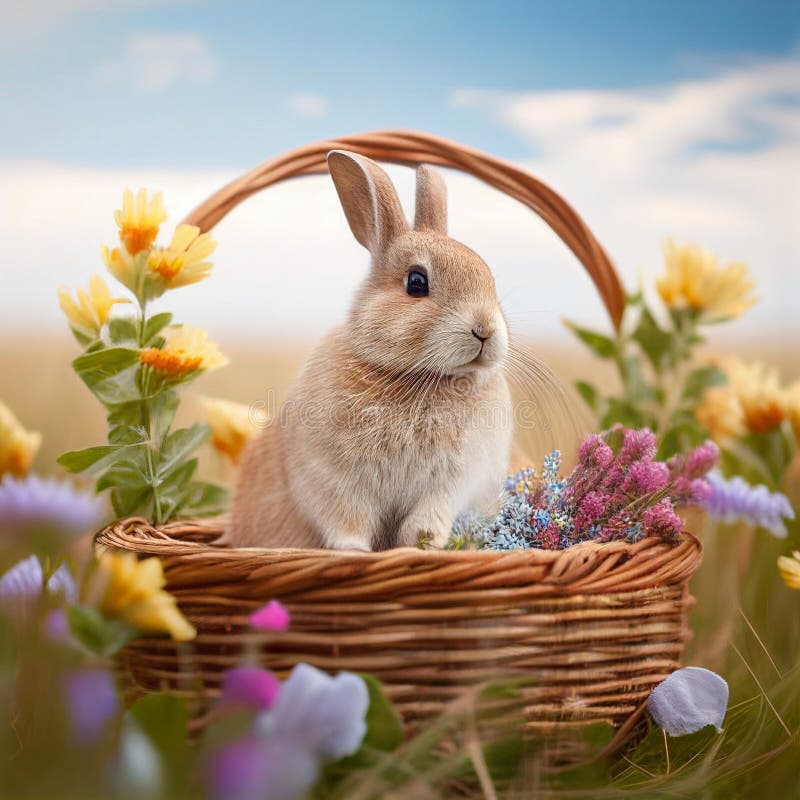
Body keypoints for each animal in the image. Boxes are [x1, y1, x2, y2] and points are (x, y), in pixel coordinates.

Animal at [224, 150, 514, 550]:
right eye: (416, 282)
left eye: (487, 275)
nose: (485, 330)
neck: (419, 376)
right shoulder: (335, 478)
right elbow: (347, 519)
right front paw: (355, 551)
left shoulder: (450, 483)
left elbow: (429, 515)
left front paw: (425, 544)